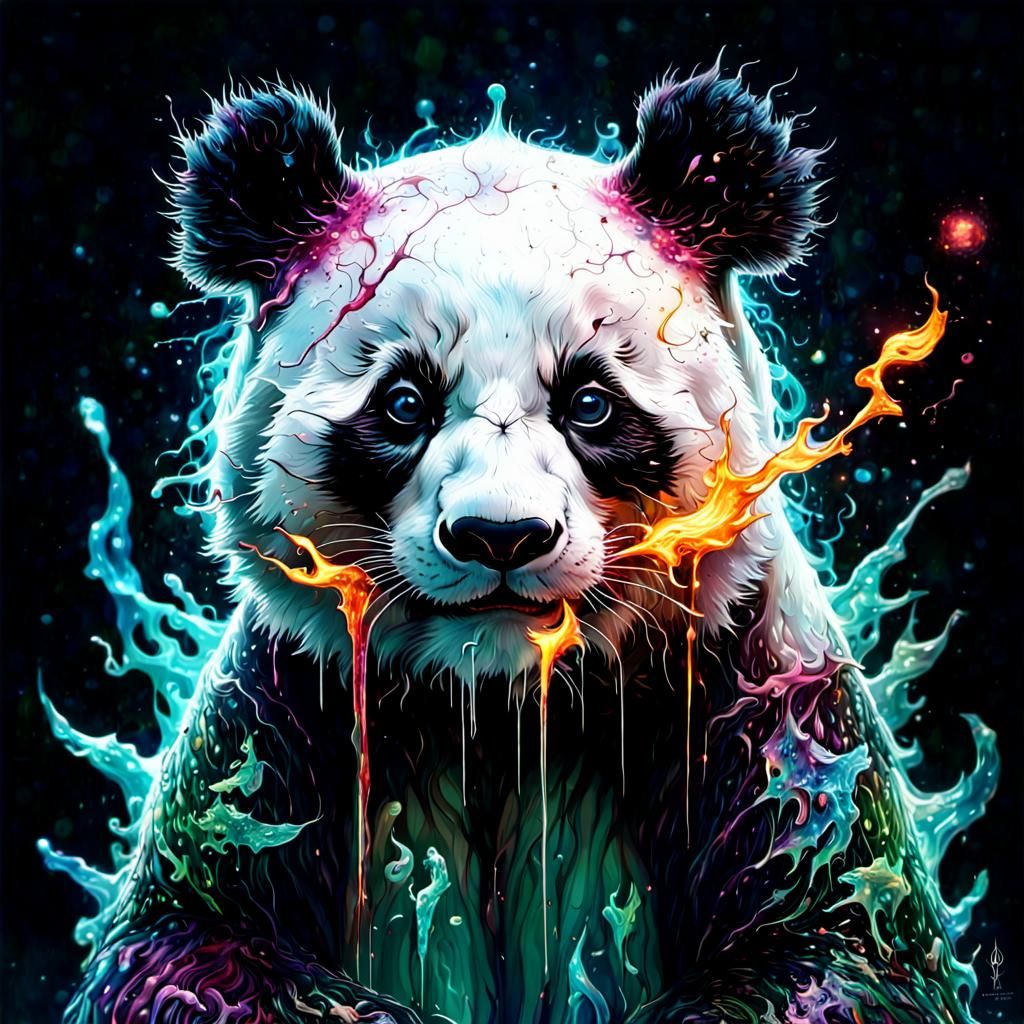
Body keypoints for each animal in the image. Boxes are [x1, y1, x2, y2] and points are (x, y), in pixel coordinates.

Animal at [64, 64, 985, 1024]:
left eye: (591, 403)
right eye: (403, 403)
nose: (499, 535)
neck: (499, 705)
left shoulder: (763, 700)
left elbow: (848, 947)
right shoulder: (282, 711)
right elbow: (181, 943)